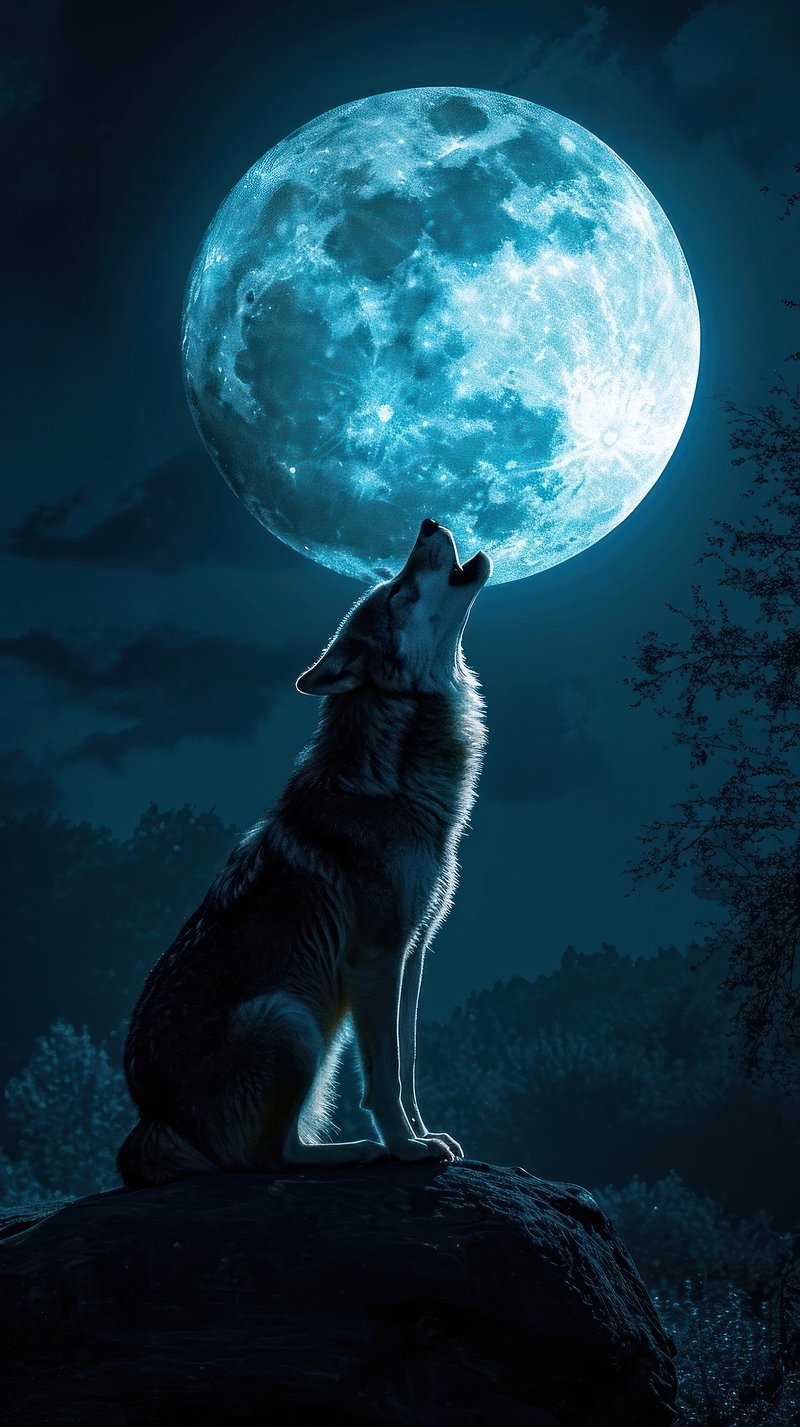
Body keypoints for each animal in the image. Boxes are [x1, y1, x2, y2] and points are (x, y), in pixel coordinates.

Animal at [117, 519, 491, 1186]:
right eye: (397, 592)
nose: (427, 523)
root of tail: (153, 1121)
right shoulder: (377, 957)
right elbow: (385, 1078)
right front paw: (406, 1149)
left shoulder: (414, 952)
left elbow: (408, 1067)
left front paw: (426, 1136)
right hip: (289, 1020)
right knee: (266, 1160)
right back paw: (357, 1152)